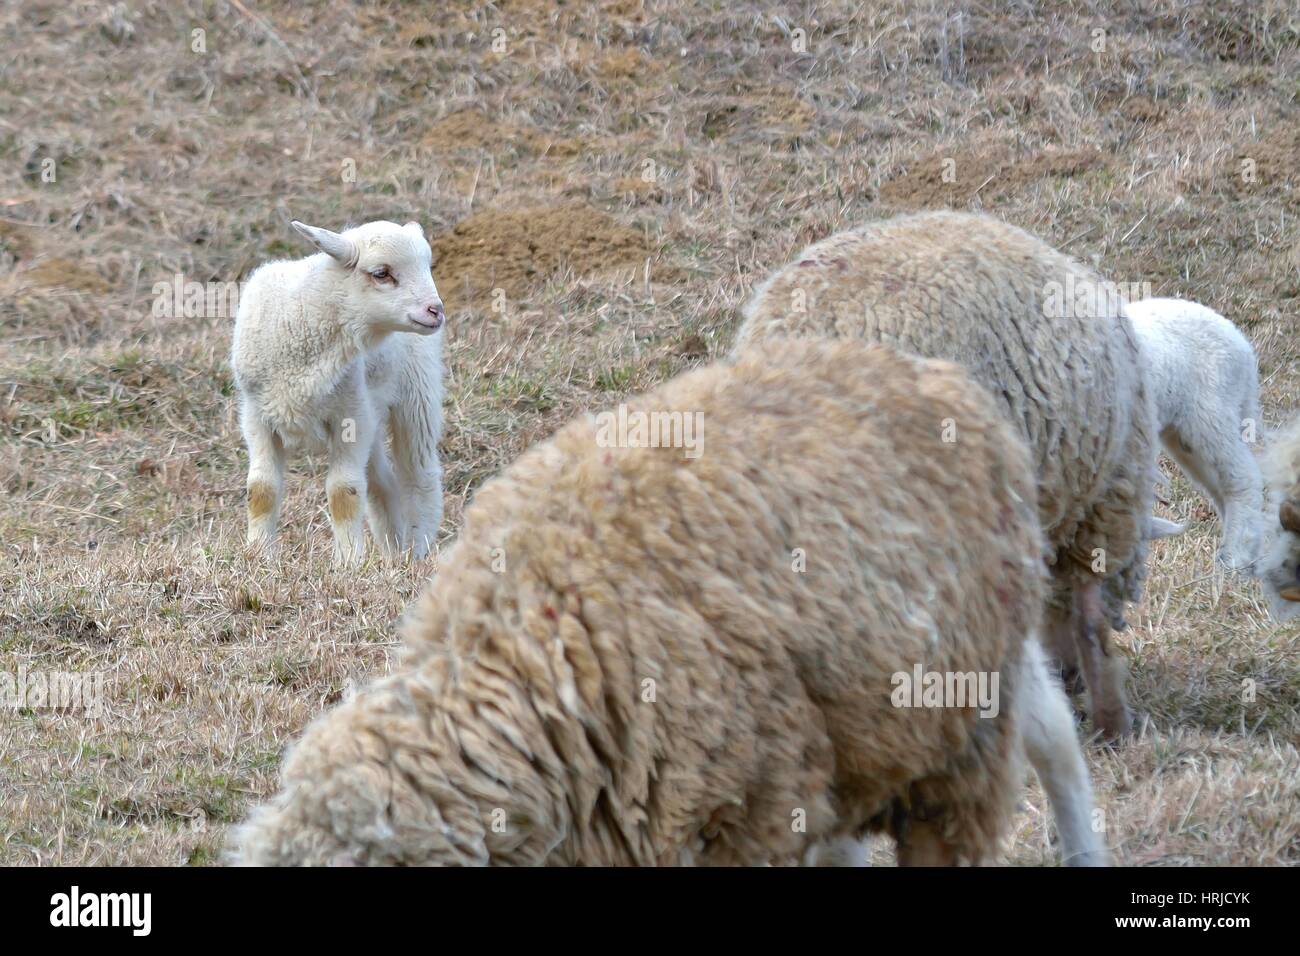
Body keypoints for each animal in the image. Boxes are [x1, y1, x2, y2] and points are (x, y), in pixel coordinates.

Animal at [231, 219, 446, 564]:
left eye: (428, 267)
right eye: (381, 273)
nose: (435, 310)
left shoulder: (351, 417)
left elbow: (344, 491)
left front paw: (348, 563)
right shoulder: (257, 416)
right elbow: (262, 489)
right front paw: (258, 555)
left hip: (417, 390)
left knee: (419, 475)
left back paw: (415, 553)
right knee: (382, 483)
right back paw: (393, 551)